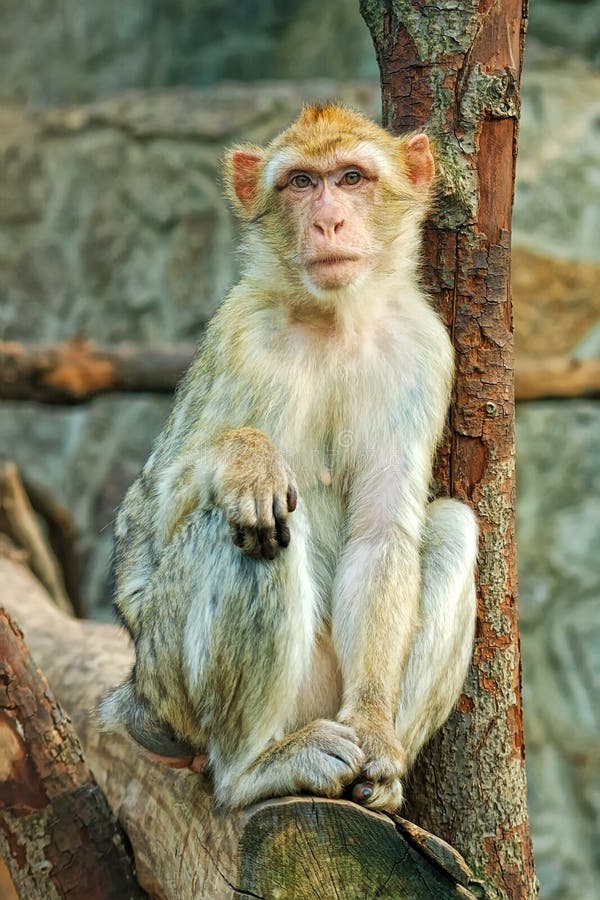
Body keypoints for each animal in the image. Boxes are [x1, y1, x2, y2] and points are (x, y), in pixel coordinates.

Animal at [98, 102, 478, 813]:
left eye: (352, 177)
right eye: (301, 182)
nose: (328, 220)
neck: (334, 319)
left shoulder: (422, 349)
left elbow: (383, 533)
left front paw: (375, 730)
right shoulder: (239, 332)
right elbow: (159, 507)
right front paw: (247, 459)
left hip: (325, 686)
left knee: (451, 526)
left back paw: (379, 772)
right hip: (171, 677)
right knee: (249, 528)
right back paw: (250, 769)